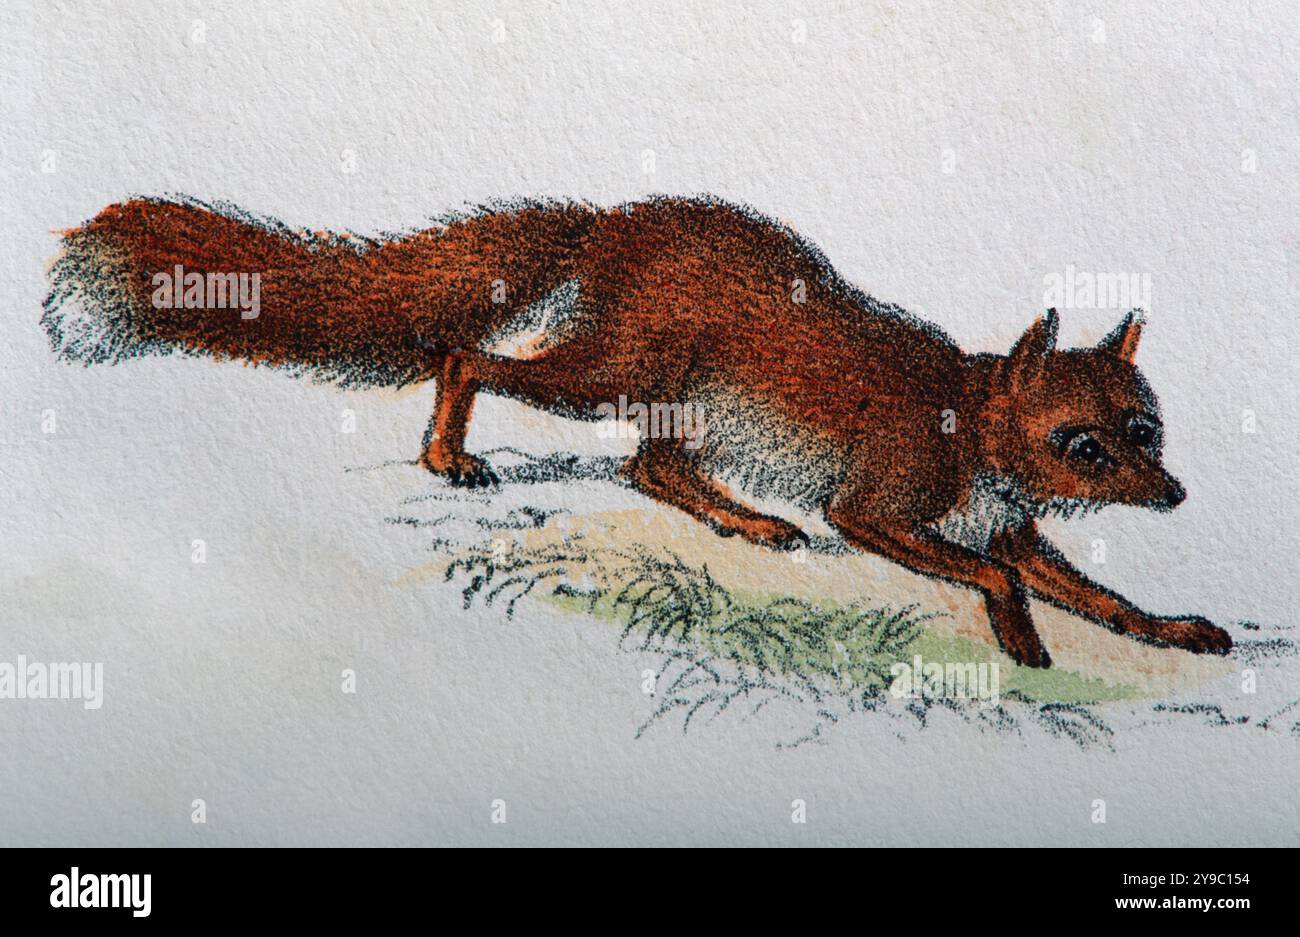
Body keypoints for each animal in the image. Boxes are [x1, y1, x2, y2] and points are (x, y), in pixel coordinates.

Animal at [43, 195, 1232, 668]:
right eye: (1085, 445)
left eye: (1148, 429)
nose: (1175, 494)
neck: (975, 434)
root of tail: (611, 221)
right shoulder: (874, 505)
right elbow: (991, 576)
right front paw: (1022, 639)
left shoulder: (1007, 524)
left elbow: (1099, 594)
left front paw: (1175, 626)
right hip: (611, 374)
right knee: (468, 358)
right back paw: (448, 454)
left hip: (675, 403)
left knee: (651, 468)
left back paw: (746, 524)